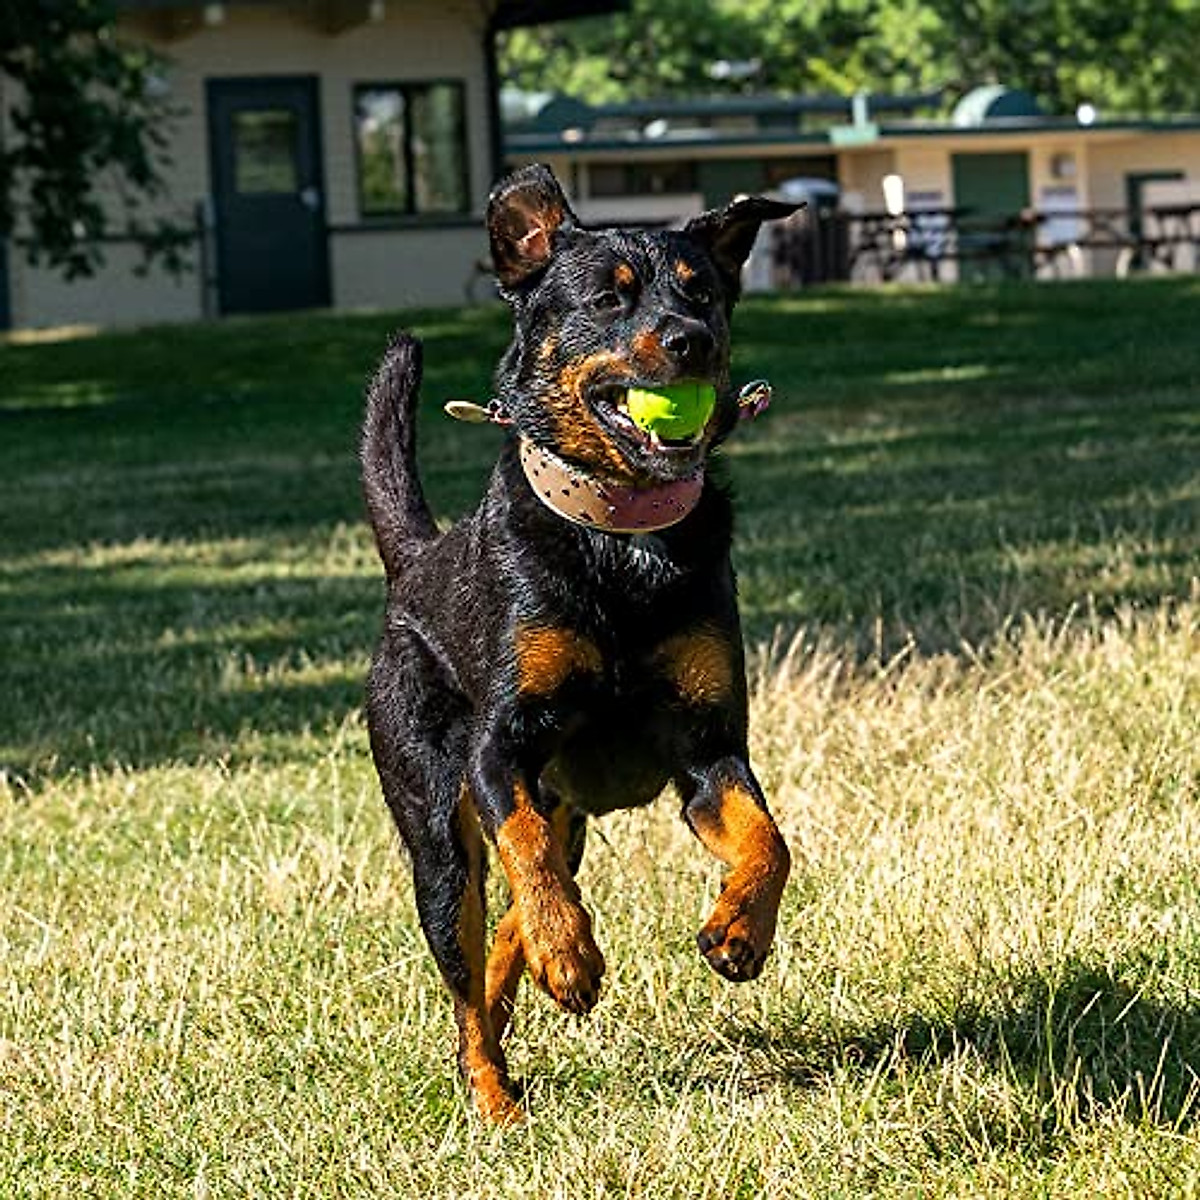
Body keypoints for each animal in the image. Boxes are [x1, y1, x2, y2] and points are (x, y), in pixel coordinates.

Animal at [361, 164, 796, 1123]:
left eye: (702, 291)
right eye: (608, 297)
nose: (690, 340)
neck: (623, 539)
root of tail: (416, 565)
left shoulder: (709, 751)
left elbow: (770, 841)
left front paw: (739, 930)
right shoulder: (500, 749)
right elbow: (521, 845)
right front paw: (568, 954)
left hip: (573, 817)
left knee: (508, 929)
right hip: (435, 833)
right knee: (471, 957)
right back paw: (495, 1093)